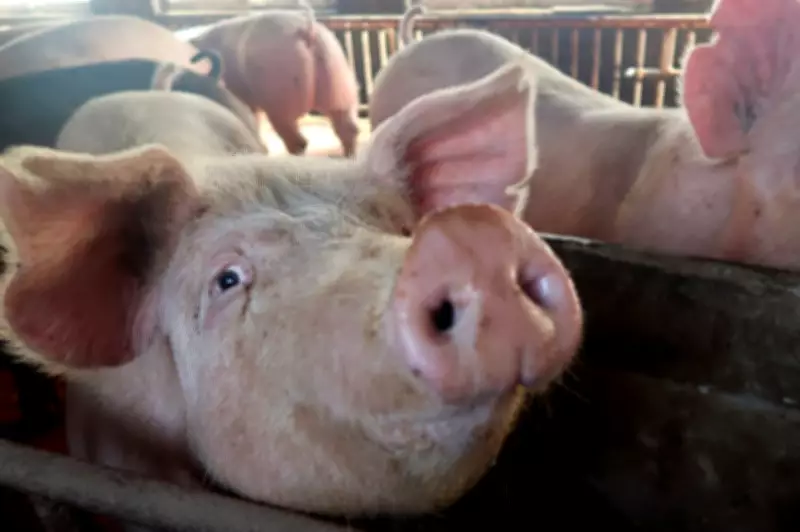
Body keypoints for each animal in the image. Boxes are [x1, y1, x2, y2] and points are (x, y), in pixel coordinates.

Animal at [178, 1, 361, 157]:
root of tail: (306, 29)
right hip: (339, 79)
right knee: (348, 128)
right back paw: (348, 157)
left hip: (279, 95)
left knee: (298, 141)